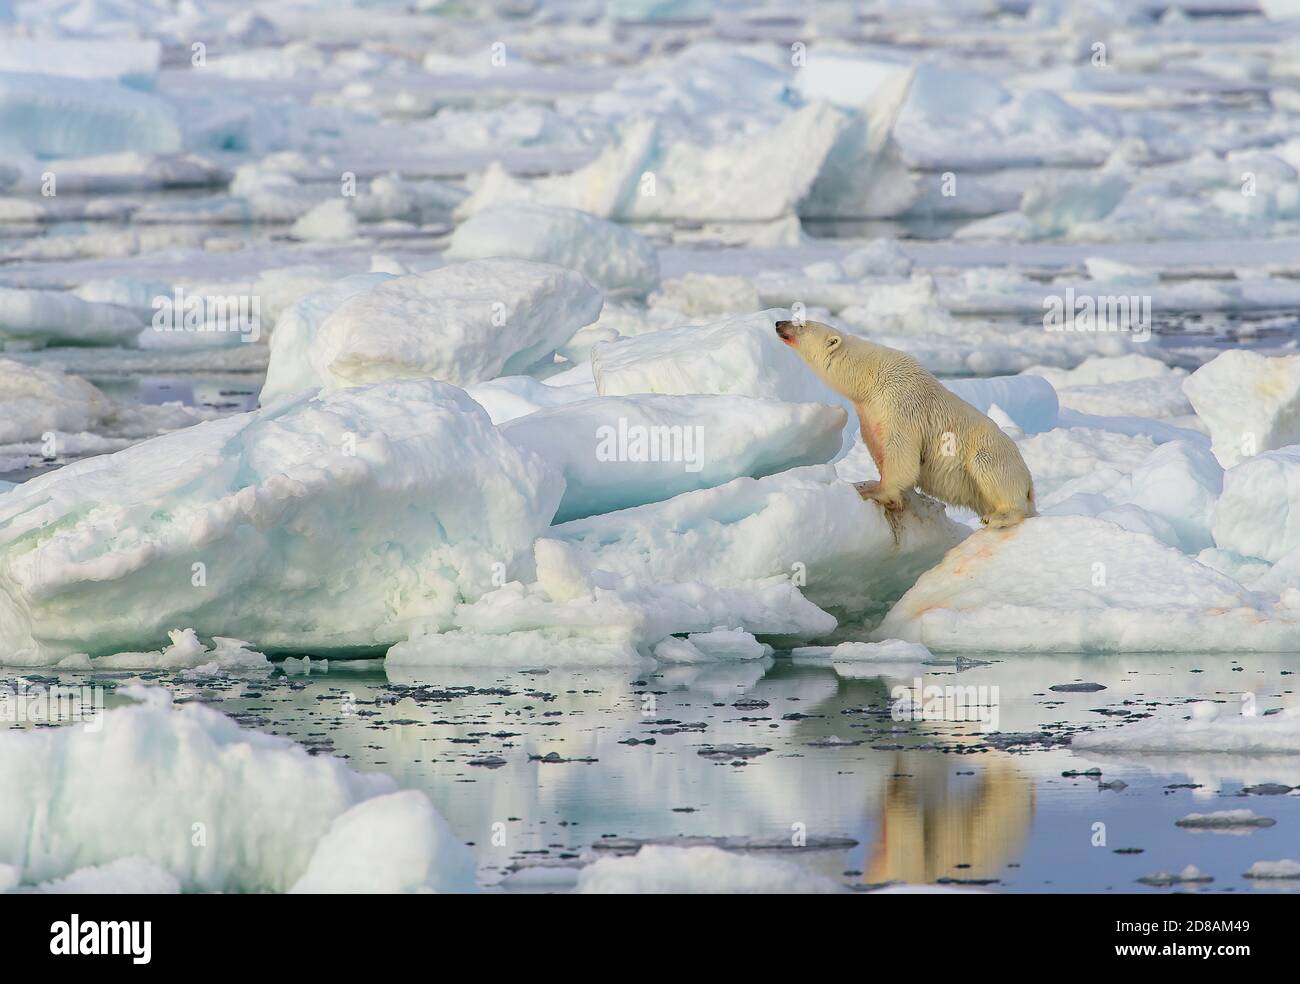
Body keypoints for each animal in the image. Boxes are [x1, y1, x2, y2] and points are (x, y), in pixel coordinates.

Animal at [776, 319, 1035, 528]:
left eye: (801, 323)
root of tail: (1029, 484)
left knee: (990, 469)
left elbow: (902, 452)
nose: (778, 323)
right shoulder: (870, 413)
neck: (869, 379)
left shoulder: (901, 404)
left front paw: (876, 492)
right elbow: (878, 445)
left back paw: (998, 517)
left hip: (994, 455)